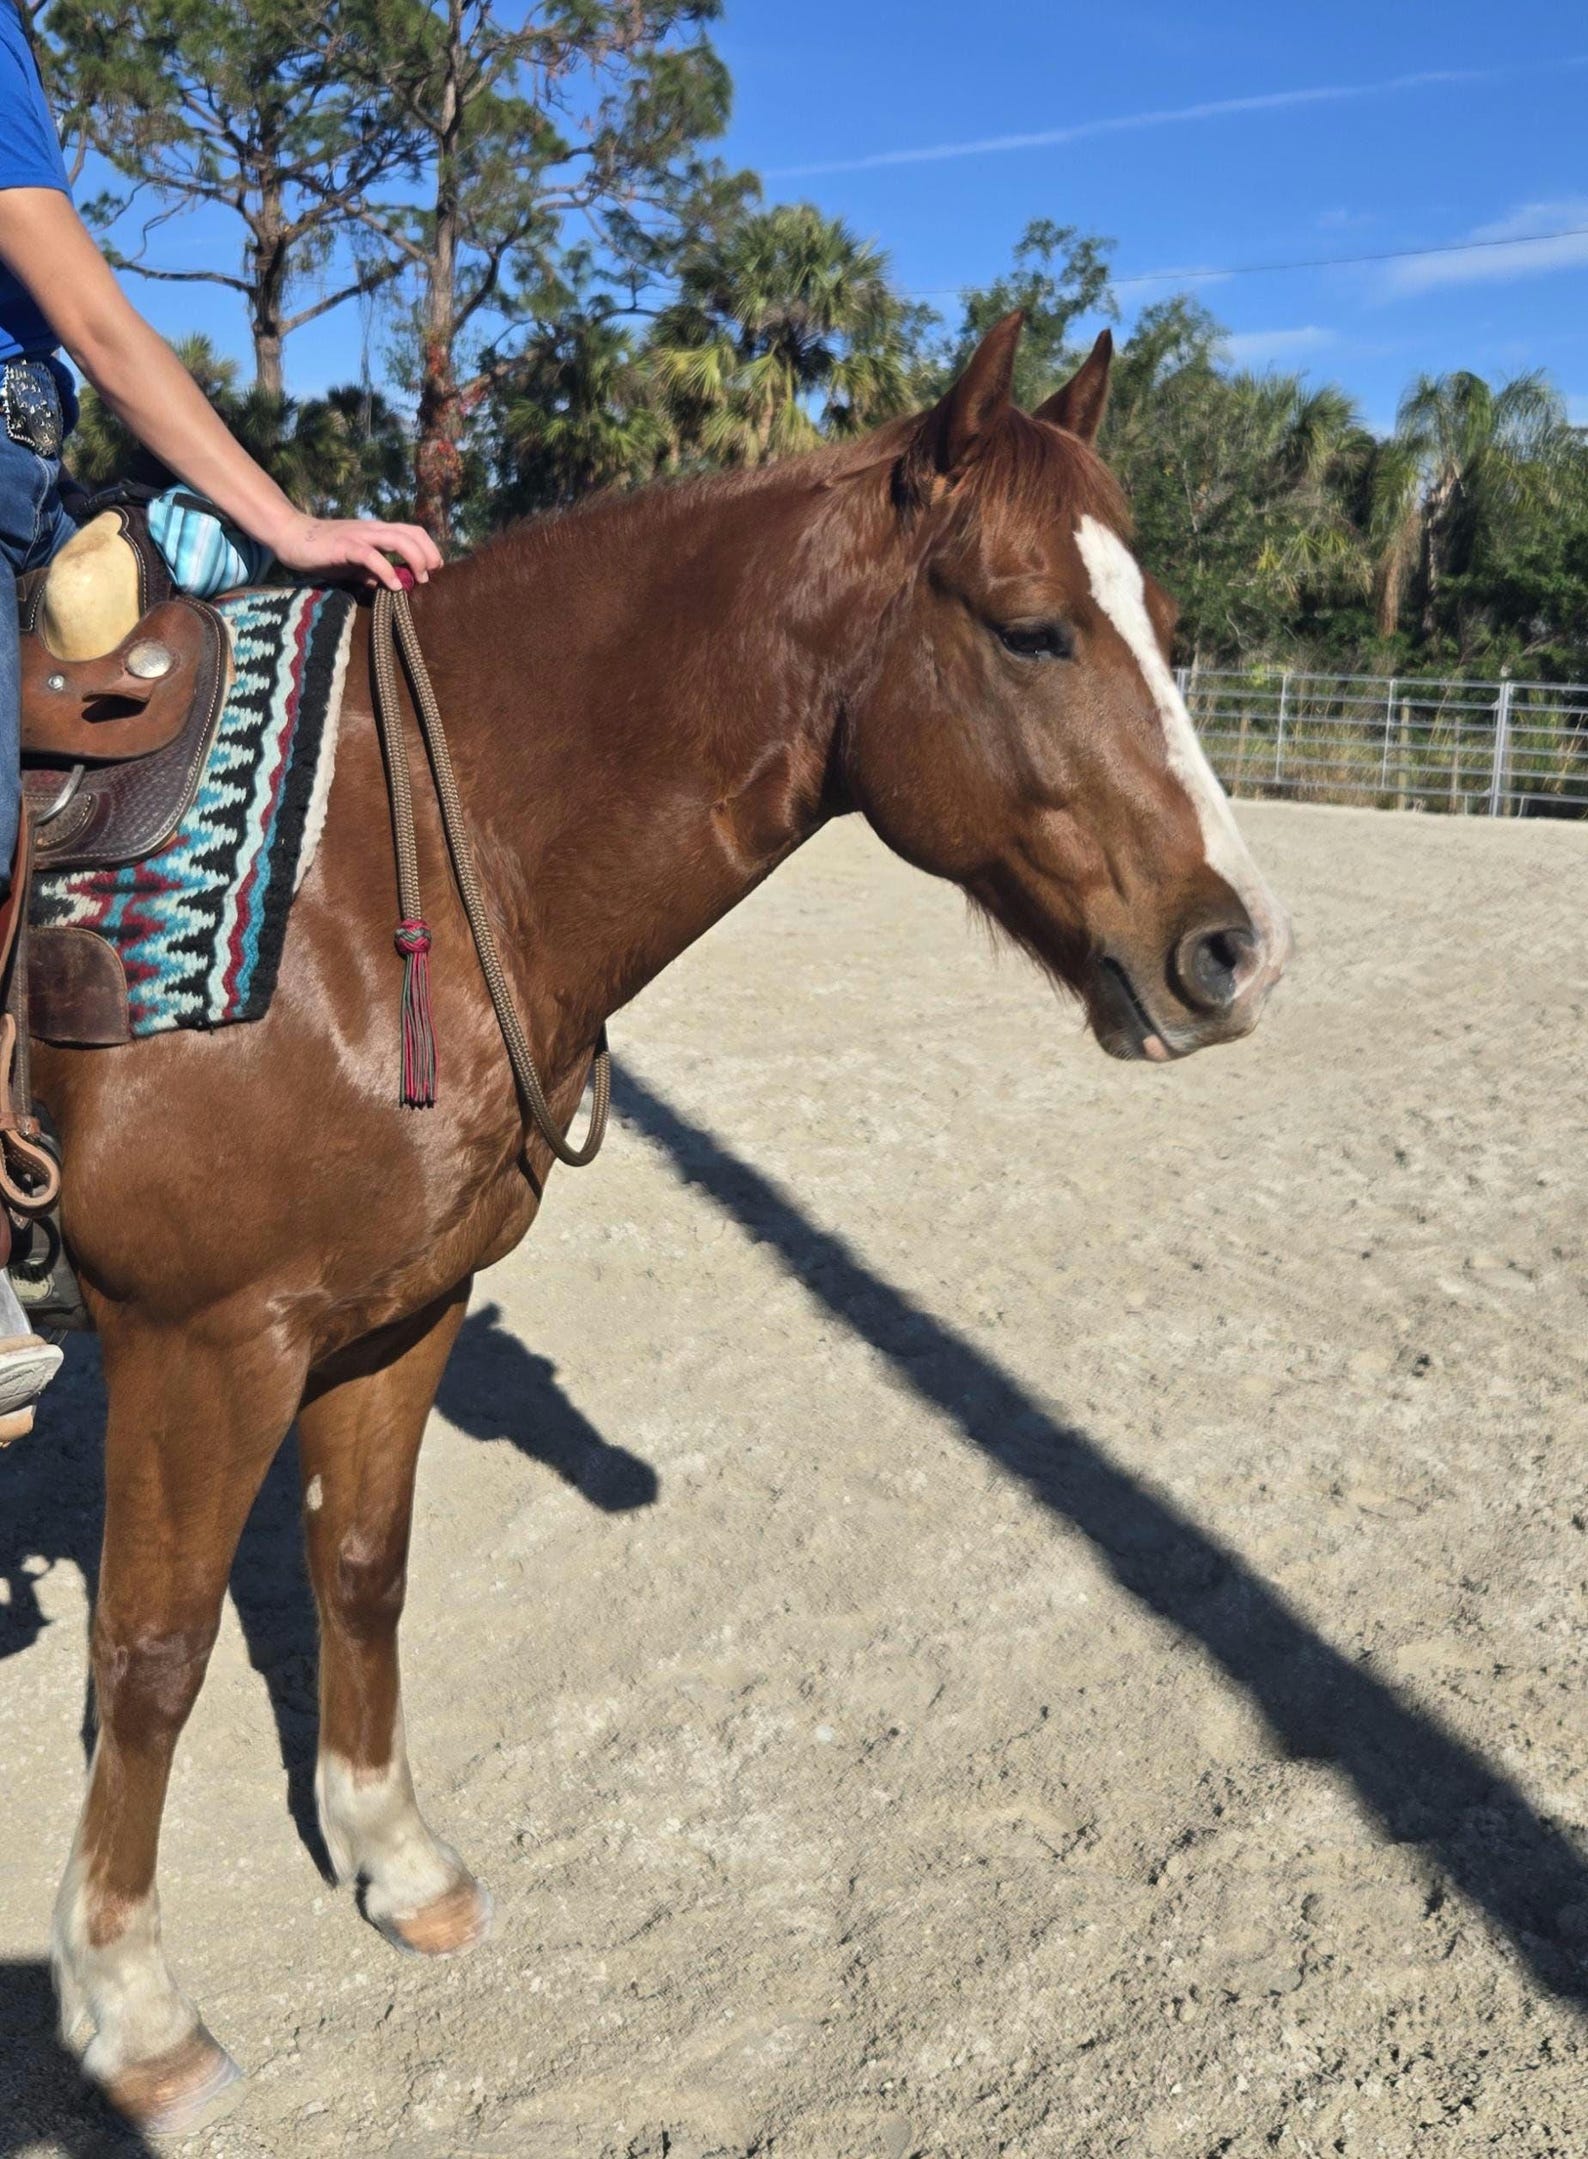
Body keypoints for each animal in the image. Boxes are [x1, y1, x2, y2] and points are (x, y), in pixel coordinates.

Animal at [35, 310, 1289, 2135]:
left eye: (1169, 630)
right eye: (1032, 626)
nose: (1236, 950)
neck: (377, 866)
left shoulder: (399, 1309)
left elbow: (360, 1571)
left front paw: (396, 1854)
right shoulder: (201, 1345)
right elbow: (152, 1649)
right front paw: (131, 2002)